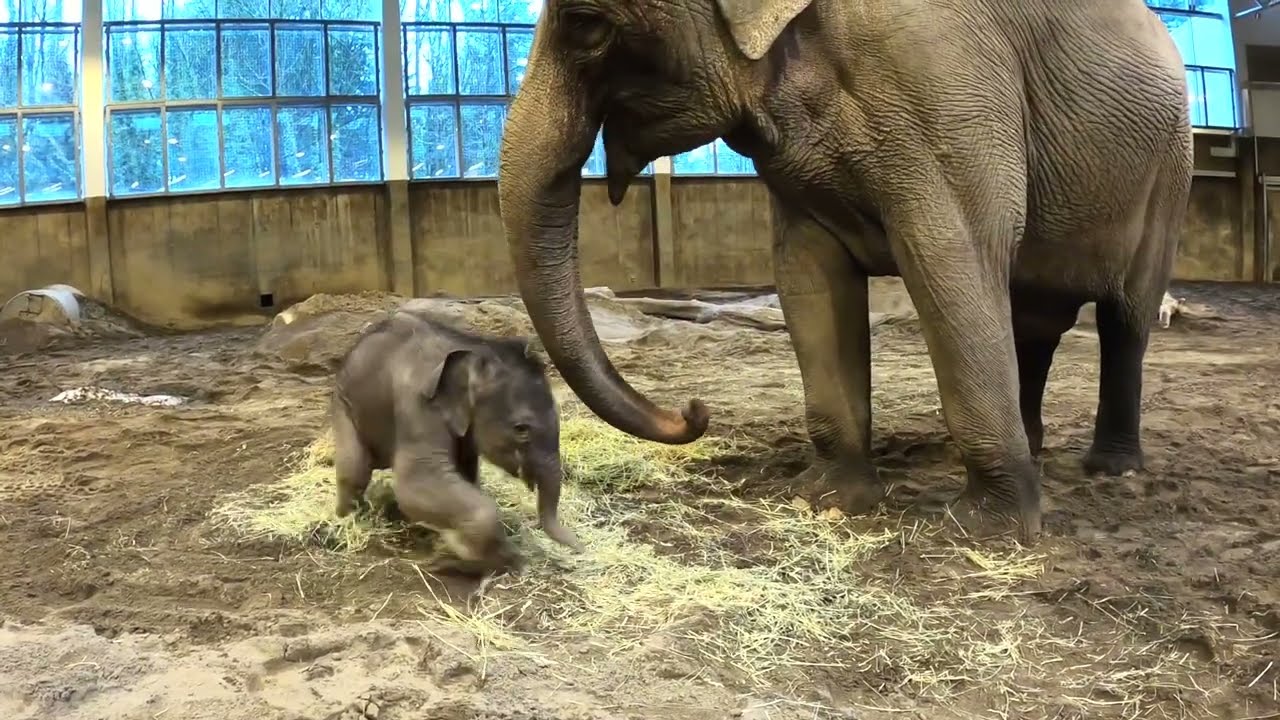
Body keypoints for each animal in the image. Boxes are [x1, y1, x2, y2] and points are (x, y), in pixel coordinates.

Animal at [331, 311, 583, 571]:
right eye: (521, 429)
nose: (580, 547)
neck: (474, 351)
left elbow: (465, 476)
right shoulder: (419, 408)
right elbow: (417, 483)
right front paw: (512, 559)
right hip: (344, 404)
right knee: (355, 468)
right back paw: (349, 519)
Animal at [495, 0, 1193, 542]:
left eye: (586, 25)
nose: (693, 411)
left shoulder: (943, 81)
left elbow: (954, 255)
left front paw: (984, 532)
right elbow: (808, 275)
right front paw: (826, 501)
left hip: (1169, 174)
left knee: (1124, 318)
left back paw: (1113, 469)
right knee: (1034, 322)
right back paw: (1034, 448)